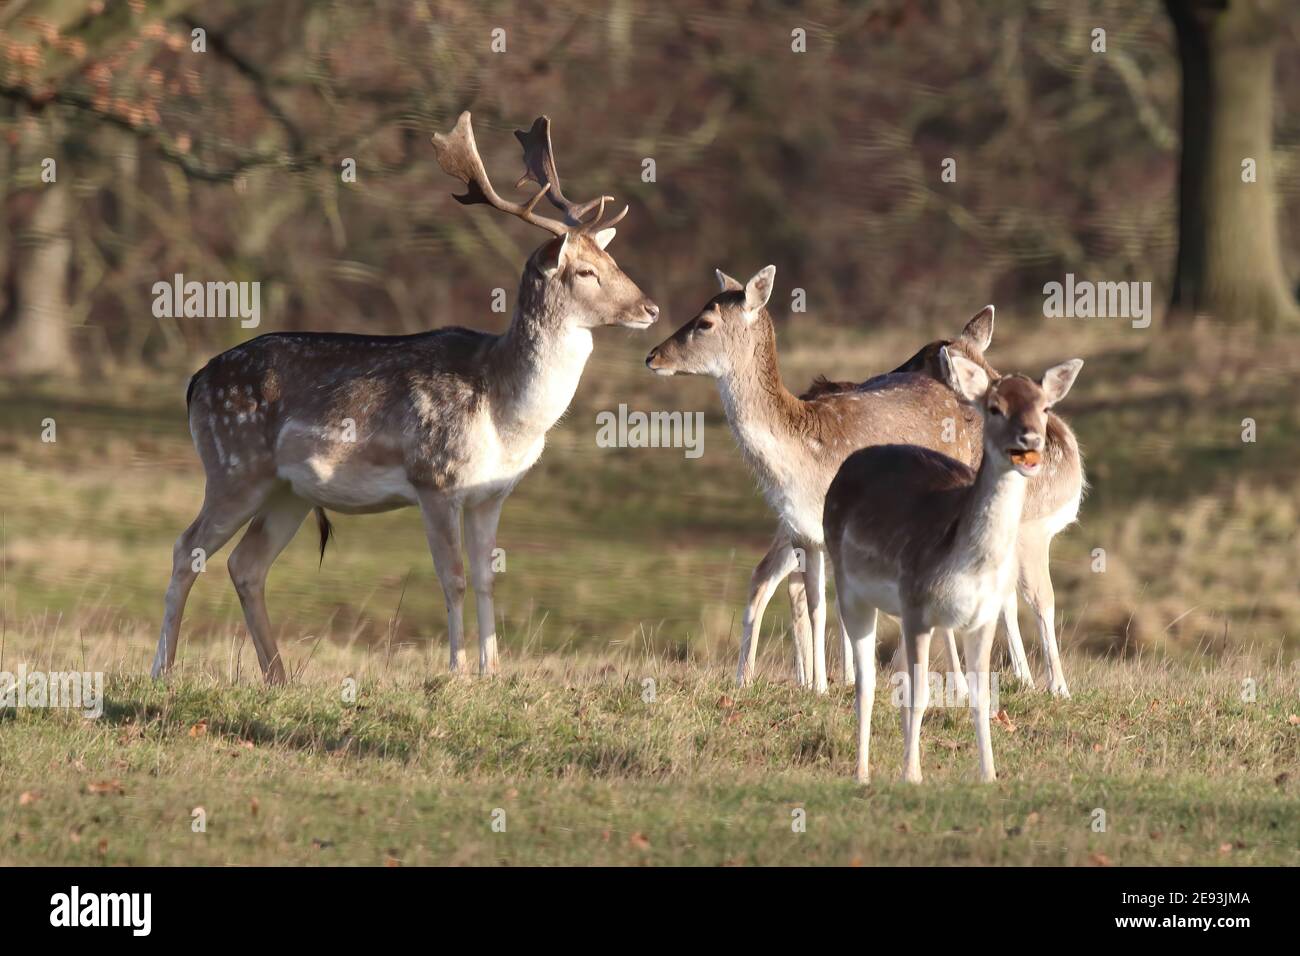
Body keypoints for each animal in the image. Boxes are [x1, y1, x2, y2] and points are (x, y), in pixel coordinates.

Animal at [151, 112, 658, 684]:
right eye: (586, 271)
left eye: (611, 259)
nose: (651, 308)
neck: (506, 416)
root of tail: (196, 380)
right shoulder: (435, 478)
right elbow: (453, 576)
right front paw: (457, 672)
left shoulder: (492, 494)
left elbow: (487, 578)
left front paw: (492, 672)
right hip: (234, 464)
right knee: (185, 548)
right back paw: (163, 671)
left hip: (289, 490)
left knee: (247, 564)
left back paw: (279, 678)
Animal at [645, 265, 986, 695]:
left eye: (705, 322)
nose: (652, 355)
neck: (804, 458)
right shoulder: (801, 531)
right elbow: (815, 606)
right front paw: (820, 684)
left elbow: (832, 607)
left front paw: (828, 684)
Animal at [746, 317, 1086, 697]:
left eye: (915, 361)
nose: (881, 377)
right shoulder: (1029, 531)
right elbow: (1036, 600)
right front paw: (1057, 687)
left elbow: (1006, 602)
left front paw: (1024, 679)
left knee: (784, 578)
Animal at [824, 351, 1083, 783]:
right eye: (994, 407)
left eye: (1045, 407)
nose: (1029, 439)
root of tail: (847, 465)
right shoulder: (916, 605)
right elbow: (920, 694)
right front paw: (912, 776)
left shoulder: (982, 617)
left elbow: (982, 695)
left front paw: (989, 775)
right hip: (849, 588)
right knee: (866, 682)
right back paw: (861, 772)